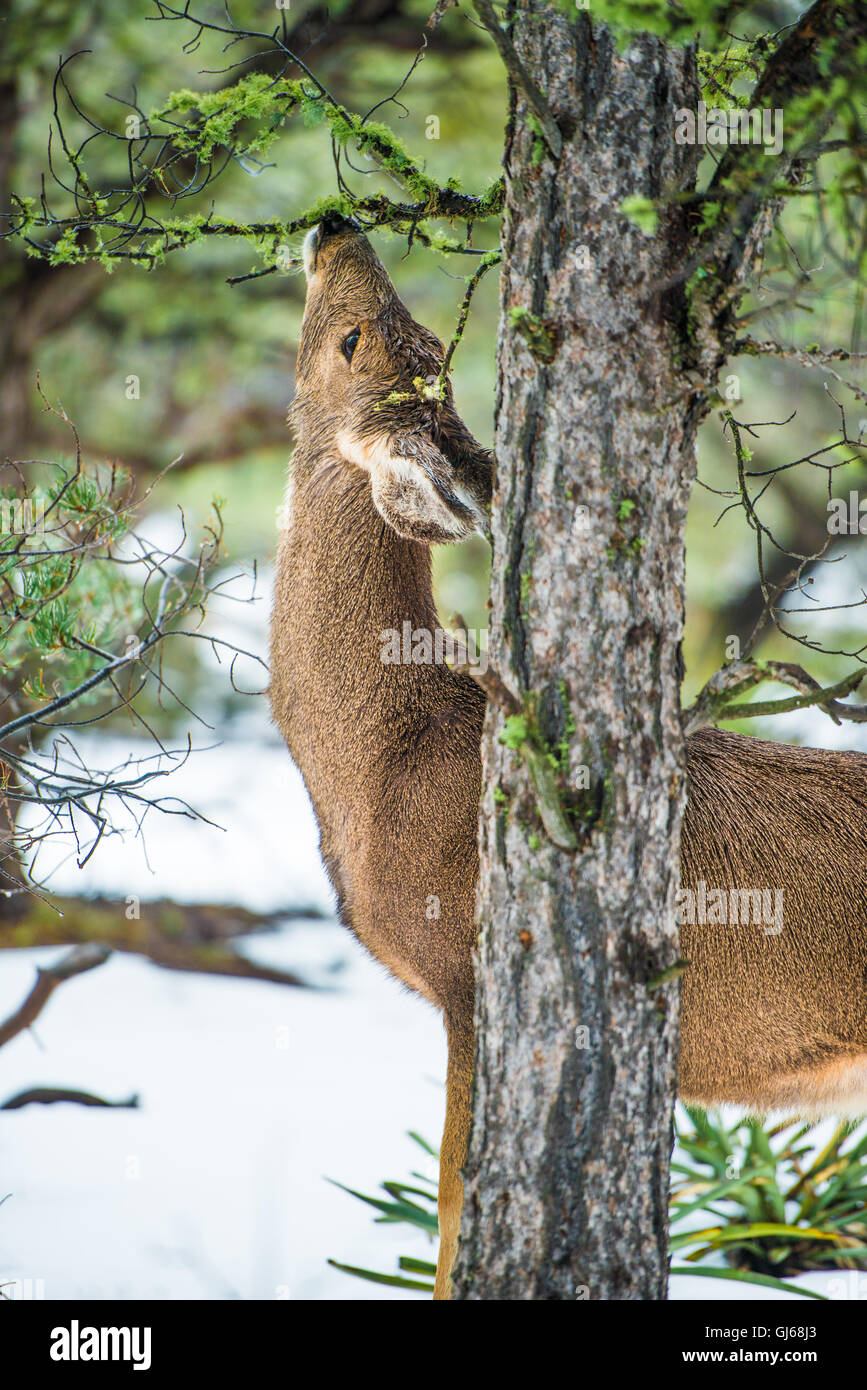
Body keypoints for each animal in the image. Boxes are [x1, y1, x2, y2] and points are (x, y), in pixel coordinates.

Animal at [270, 213, 867, 1300]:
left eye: (354, 340)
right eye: (418, 342)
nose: (338, 224)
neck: (384, 760)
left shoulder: (467, 981)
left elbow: (453, 1221)